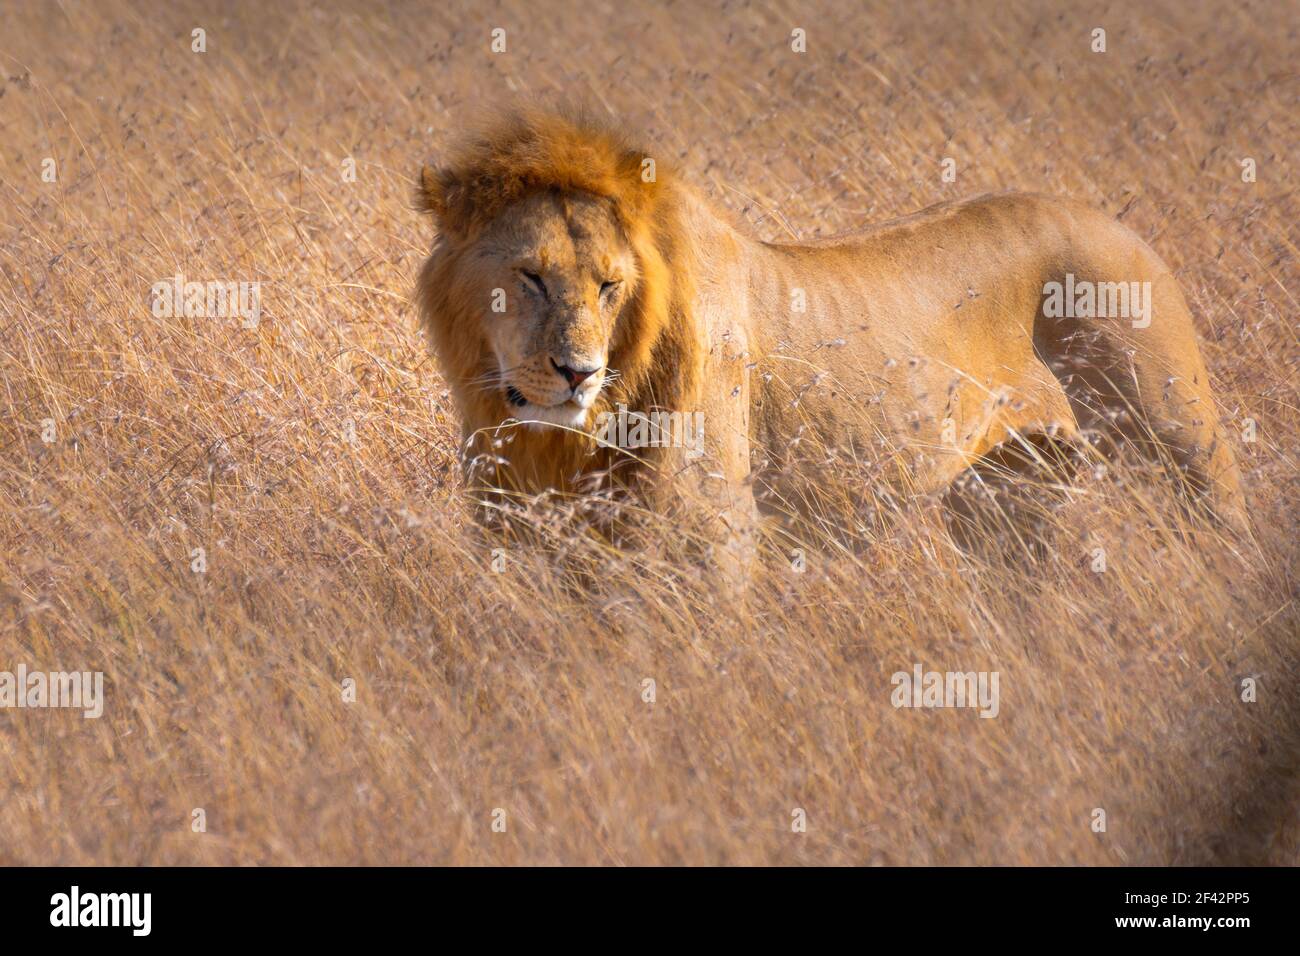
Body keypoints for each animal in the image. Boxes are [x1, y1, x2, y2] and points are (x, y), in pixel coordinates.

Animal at [415, 107, 1247, 570]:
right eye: (529, 276)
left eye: (611, 286)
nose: (578, 373)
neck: (556, 438)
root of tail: (1122, 226)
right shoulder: (516, 527)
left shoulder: (717, 531)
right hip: (1008, 496)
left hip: (1180, 448)